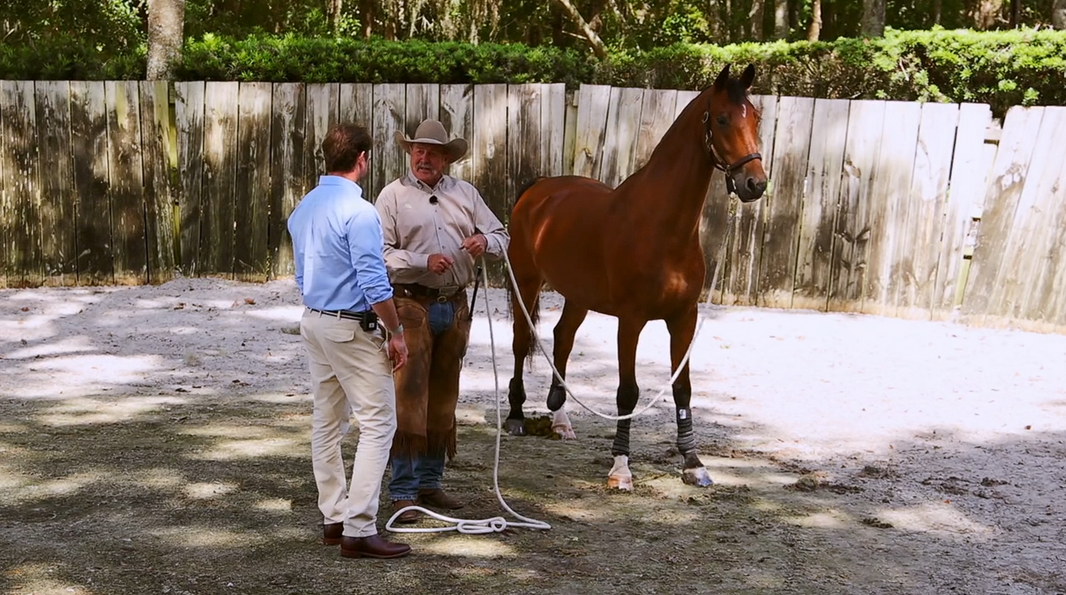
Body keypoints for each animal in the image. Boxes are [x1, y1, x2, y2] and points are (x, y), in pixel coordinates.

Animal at [504, 64, 768, 490]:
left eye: (756, 117)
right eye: (723, 119)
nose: (754, 183)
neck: (663, 227)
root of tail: (539, 189)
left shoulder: (683, 318)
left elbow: (682, 388)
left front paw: (693, 463)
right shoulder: (631, 320)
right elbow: (627, 392)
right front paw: (620, 468)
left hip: (579, 296)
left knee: (562, 338)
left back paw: (560, 420)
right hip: (525, 284)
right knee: (520, 340)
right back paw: (515, 417)